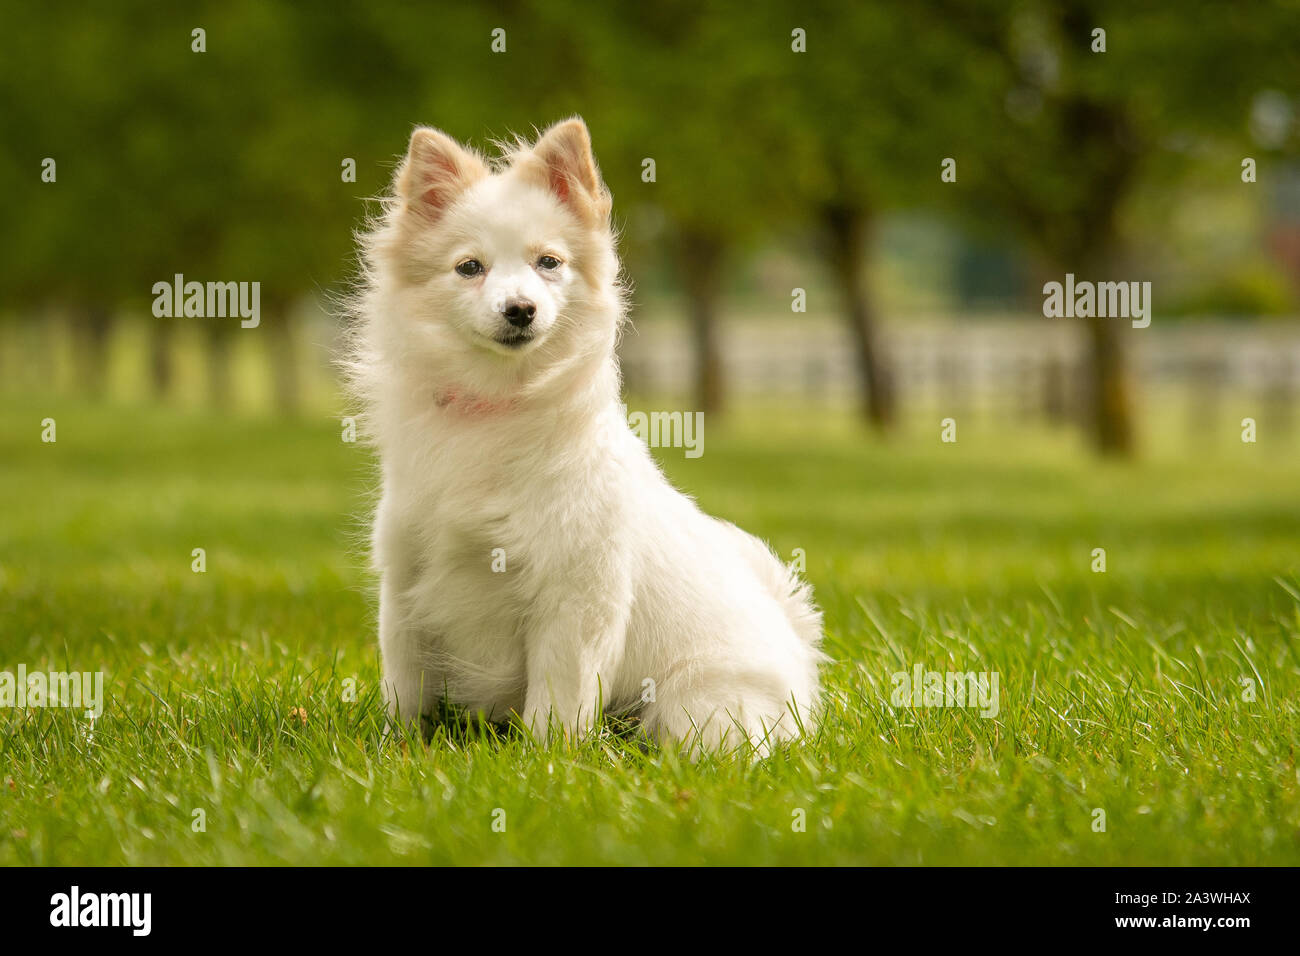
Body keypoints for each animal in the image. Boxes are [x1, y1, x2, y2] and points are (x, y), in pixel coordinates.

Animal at [348, 115, 821, 754]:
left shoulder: (575, 599)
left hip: (695, 705)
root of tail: (797, 655)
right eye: (469, 267)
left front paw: (547, 758)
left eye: (549, 262)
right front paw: (396, 746)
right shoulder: (405, 581)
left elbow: (557, 701)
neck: (499, 405)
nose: (520, 309)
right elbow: (404, 685)